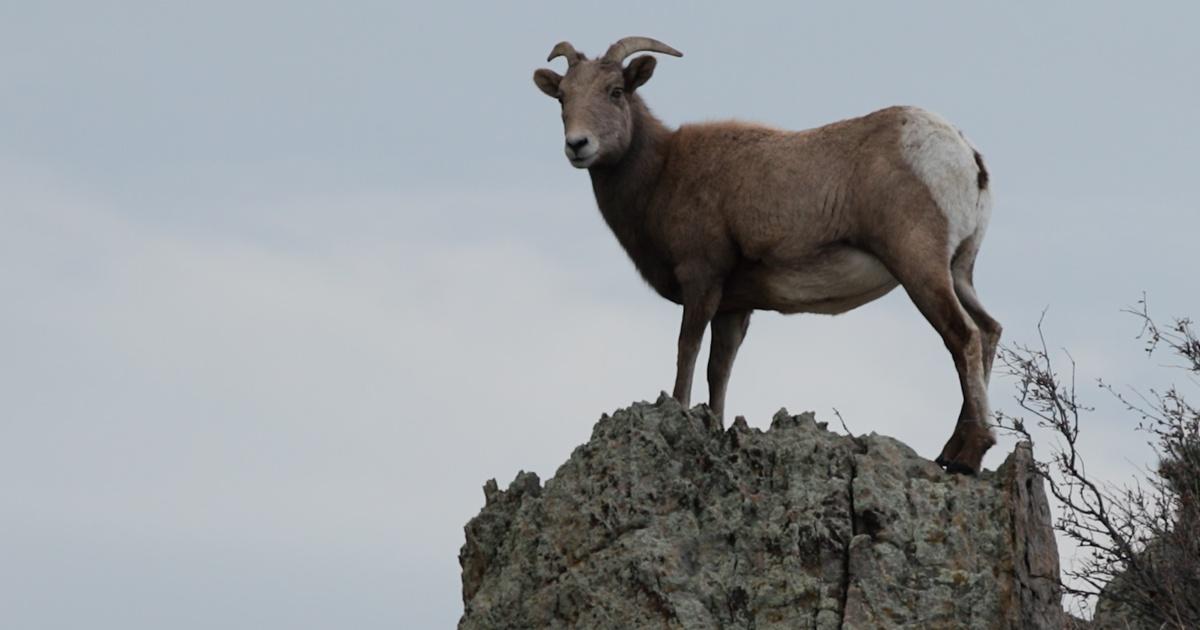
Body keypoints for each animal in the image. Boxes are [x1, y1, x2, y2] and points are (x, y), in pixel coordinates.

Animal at [532, 36, 1001, 474]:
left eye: (615, 91)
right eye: (563, 97)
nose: (578, 145)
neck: (662, 174)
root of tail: (965, 154)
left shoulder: (702, 280)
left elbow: (687, 350)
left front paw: (680, 411)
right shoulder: (733, 308)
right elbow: (718, 370)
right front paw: (716, 425)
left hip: (920, 268)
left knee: (963, 336)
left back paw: (969, 455)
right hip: (959, 271)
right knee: (988, 330)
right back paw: (952, 452)